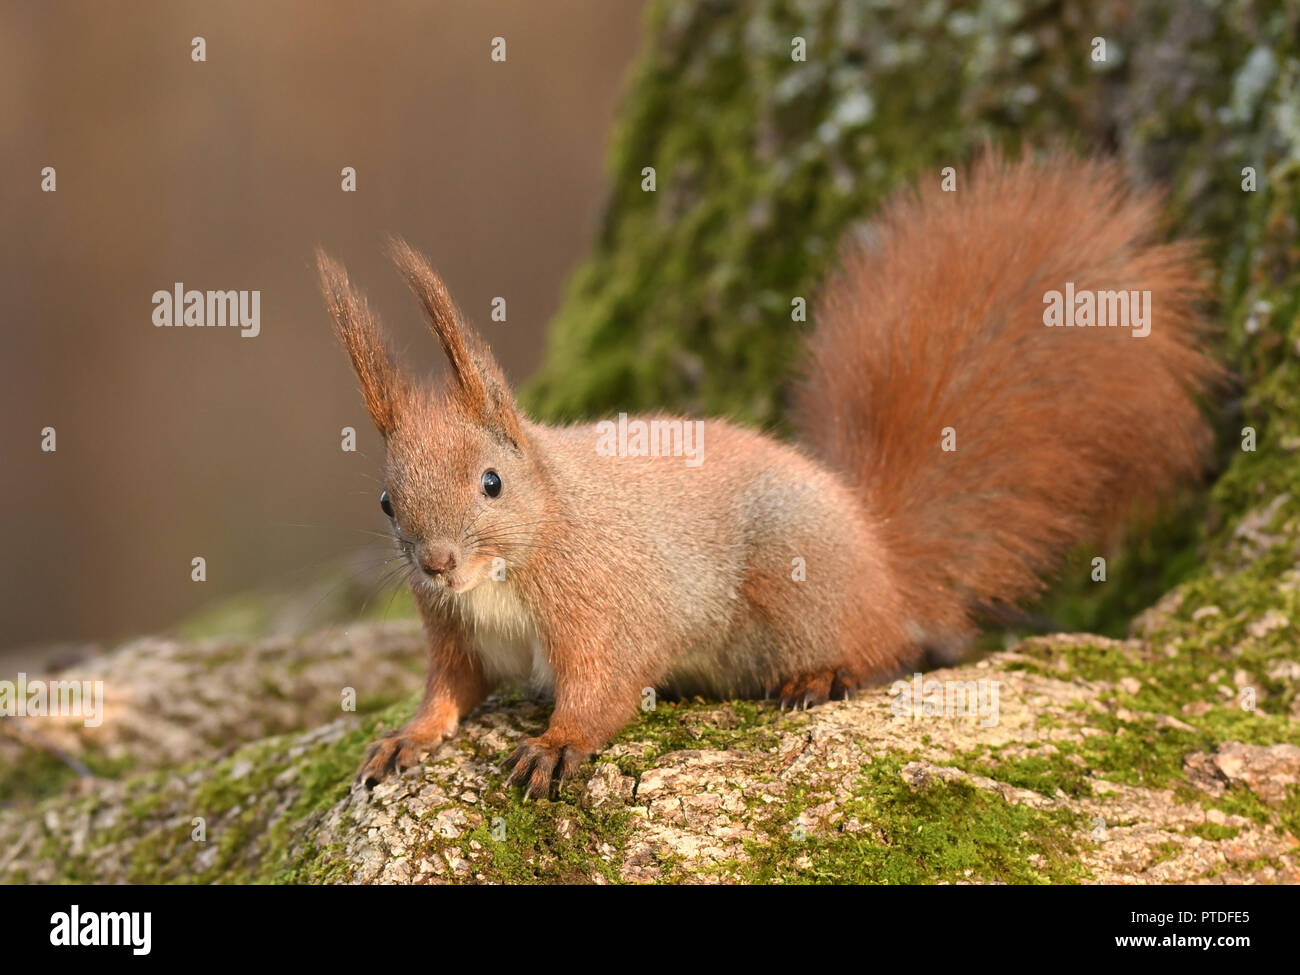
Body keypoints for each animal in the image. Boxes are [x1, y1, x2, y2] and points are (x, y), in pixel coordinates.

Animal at [316, 151, 1221, 797]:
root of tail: (883, 559)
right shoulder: (454, 629)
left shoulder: (609, 604)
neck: (536, 536)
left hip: (801, 587)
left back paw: (826, 672)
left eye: (492, 482)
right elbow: (449, 689)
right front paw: (406, 736)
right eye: (389, 500)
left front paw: (557, 745)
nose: (438, 563)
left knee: (893, 646)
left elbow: (605, 686)